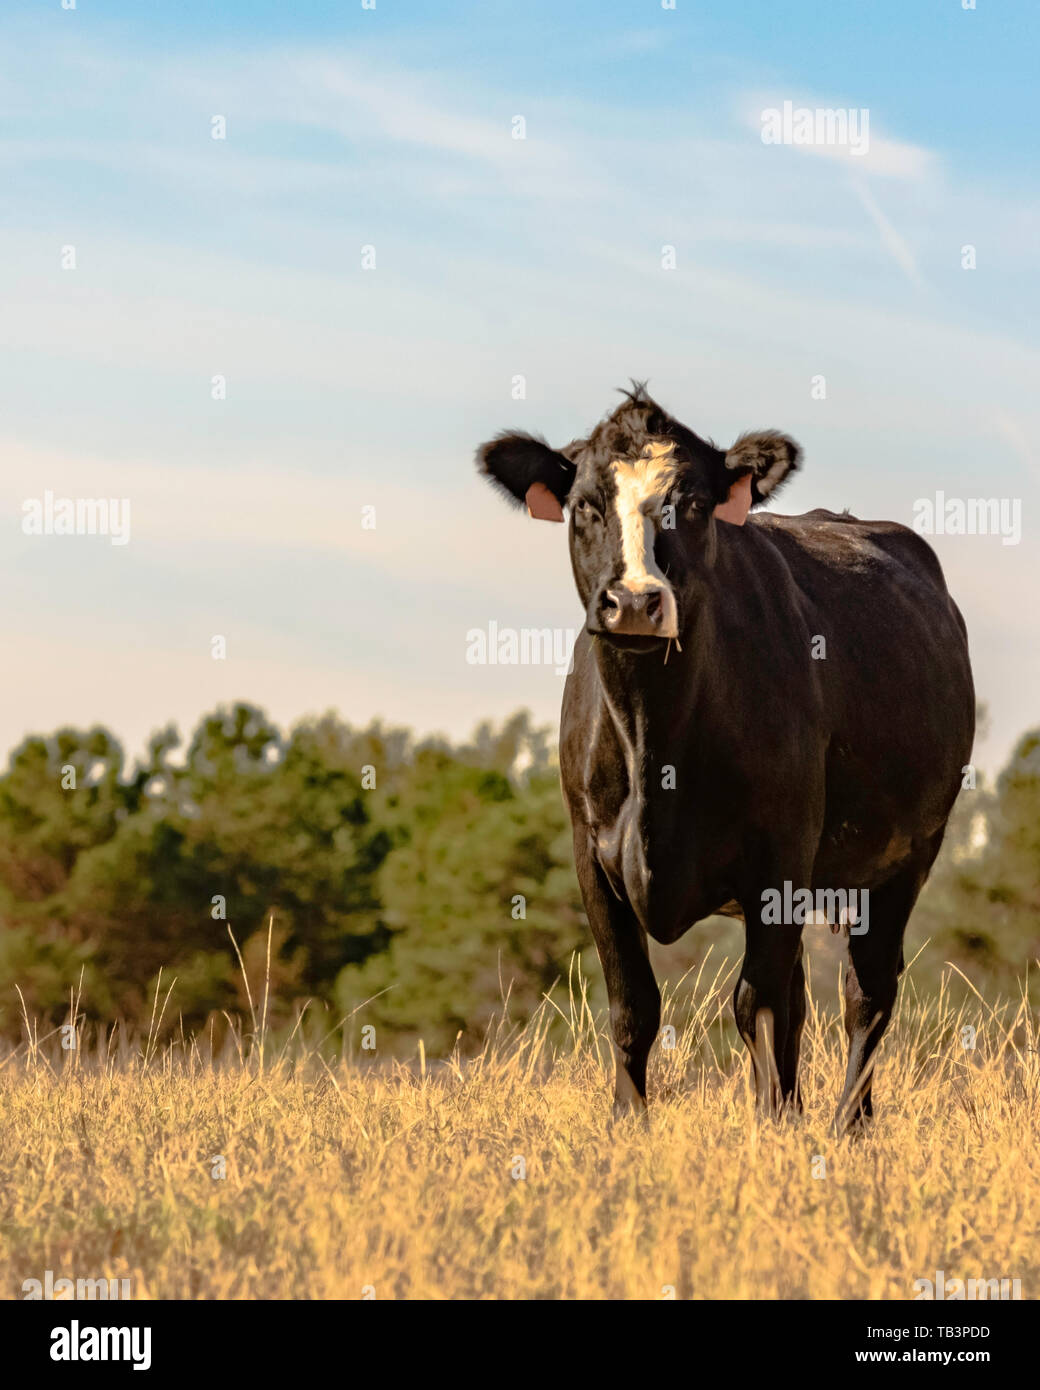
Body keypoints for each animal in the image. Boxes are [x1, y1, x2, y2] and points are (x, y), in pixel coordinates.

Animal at [476, 384, 974, 1131]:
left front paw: (768, 1128)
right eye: (586, 504)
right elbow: (634, 1004)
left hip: (907, 855)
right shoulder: (591, 854)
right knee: (805, 996)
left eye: (691, 506)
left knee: (866, 993)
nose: (634, 601)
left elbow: (755, 1004)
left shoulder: (780, 852)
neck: (654, 737)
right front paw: (629, 1124)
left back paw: (846, 1125)